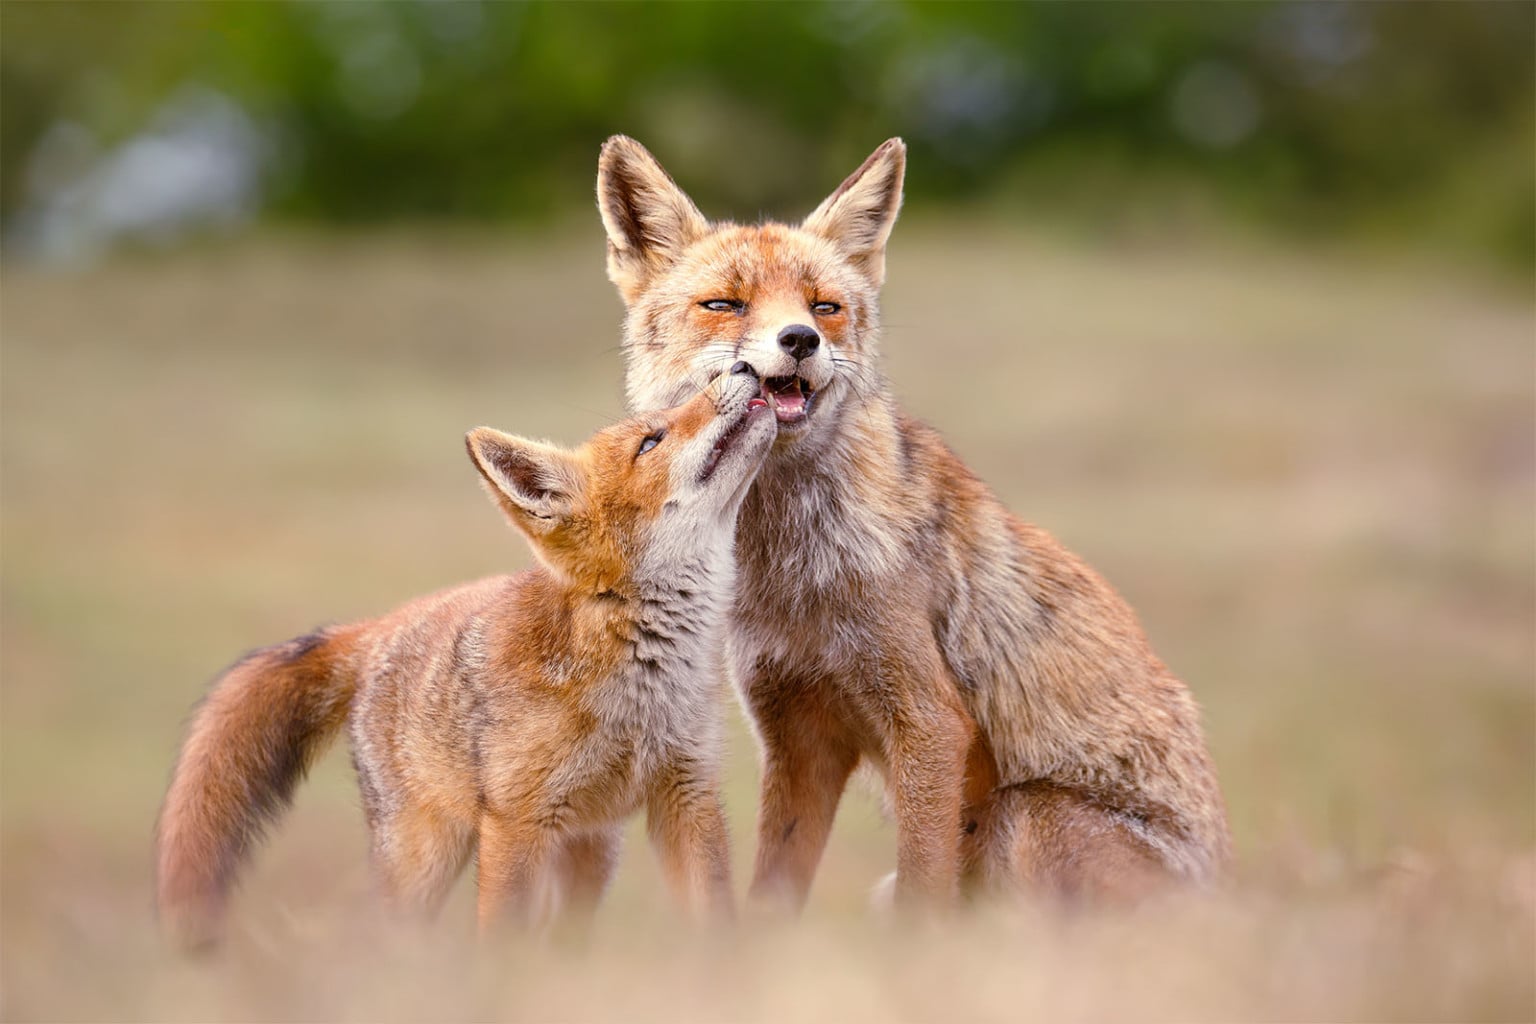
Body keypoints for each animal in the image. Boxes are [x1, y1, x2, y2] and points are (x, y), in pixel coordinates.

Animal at [154, 365, 777, 947]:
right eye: (651, 441)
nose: (743, 368)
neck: (638, 677)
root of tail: (378, 626)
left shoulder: (689, 795)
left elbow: (716, 925)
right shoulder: (516, 823)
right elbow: (502, 944)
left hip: (590, 851)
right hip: (427, 860)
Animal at [594, 136, 1232, 911]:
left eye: (825, 307)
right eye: (724, 304)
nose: (799, 339)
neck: (791, 573)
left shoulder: (928, 724)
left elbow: (922, 904)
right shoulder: (797, 732)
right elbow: (773, 893)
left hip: (1025, 815)